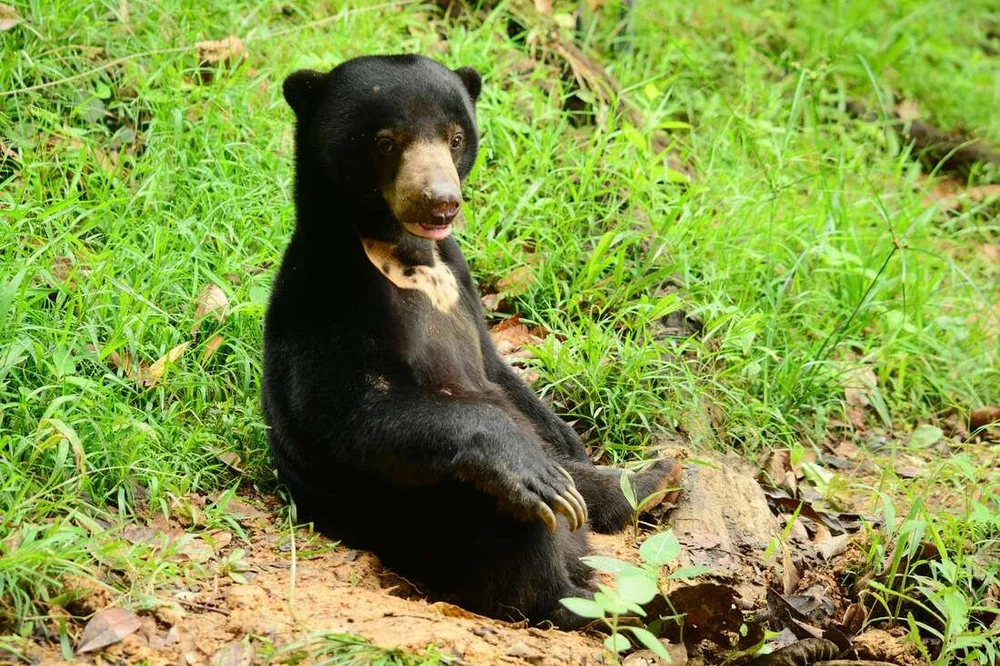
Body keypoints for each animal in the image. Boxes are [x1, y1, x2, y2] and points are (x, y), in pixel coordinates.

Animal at [262, 54, 675, 629]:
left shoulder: (463, 281)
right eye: (386, 141)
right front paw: (524, 465)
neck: (409, 255)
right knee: (511, 517)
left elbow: (498, 368)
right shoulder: (328, 299)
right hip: (427, 524)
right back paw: (576, 600)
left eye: (455, 137)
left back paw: (653, 479)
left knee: (577, 483)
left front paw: (571, 438)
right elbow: (353, 410)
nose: (441, 202)